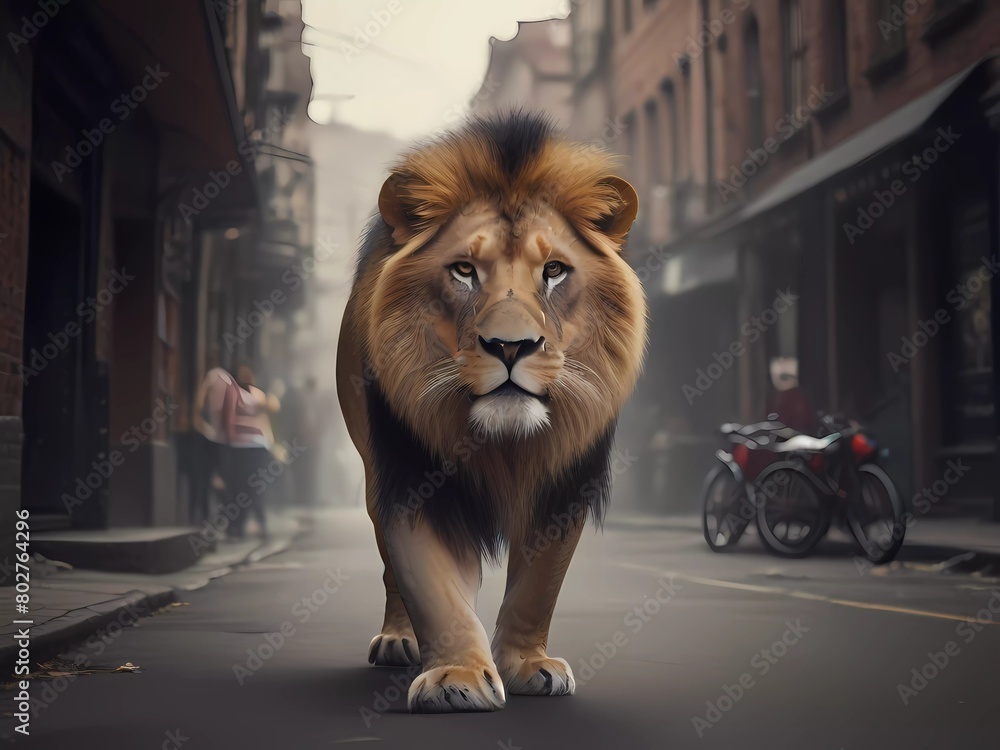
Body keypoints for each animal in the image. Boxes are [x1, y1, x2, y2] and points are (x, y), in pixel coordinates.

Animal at [336, 112, 647, 713]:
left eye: (554, 270)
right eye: (463, 270)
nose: (510, 346)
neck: (502, 444)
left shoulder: (564, 480)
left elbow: (539, 587)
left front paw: (527, 665)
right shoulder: (410, 473)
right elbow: (430, 585)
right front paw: (456, 676)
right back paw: (398, 640)